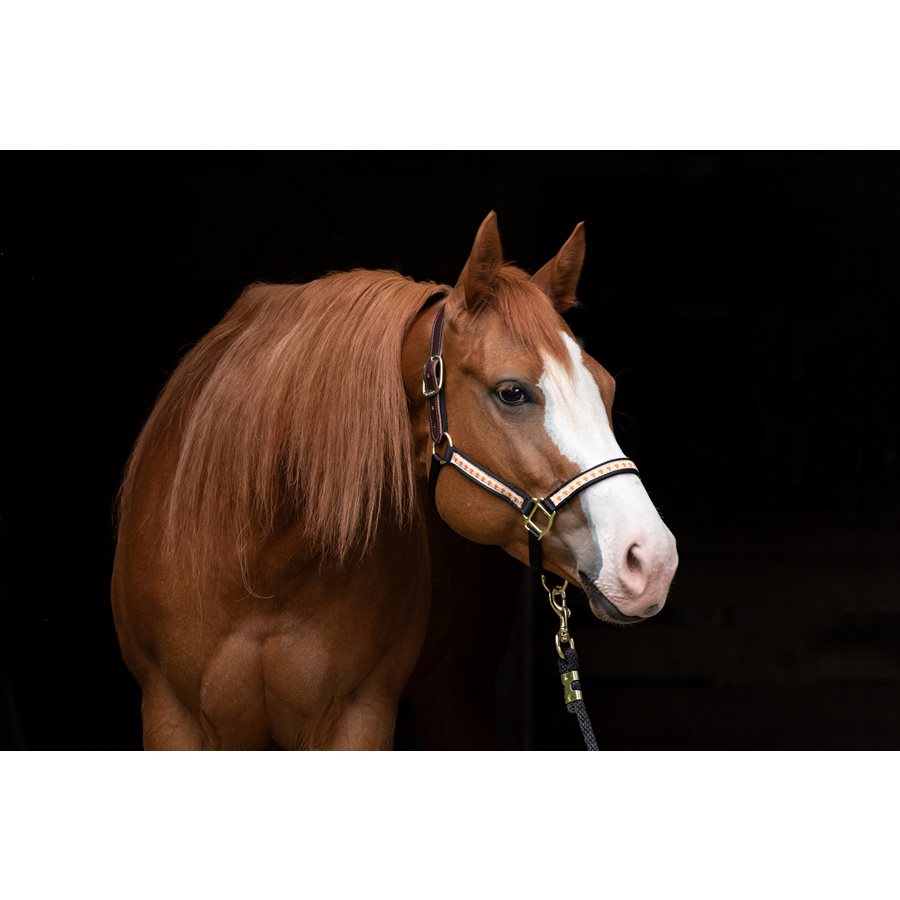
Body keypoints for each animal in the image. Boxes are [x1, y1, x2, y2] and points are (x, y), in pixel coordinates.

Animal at [111, 212, 678, 750]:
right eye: (512, 392)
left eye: (606, 388)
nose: (652, 561)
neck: (262, 562)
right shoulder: (171, 717)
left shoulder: (355, 718)